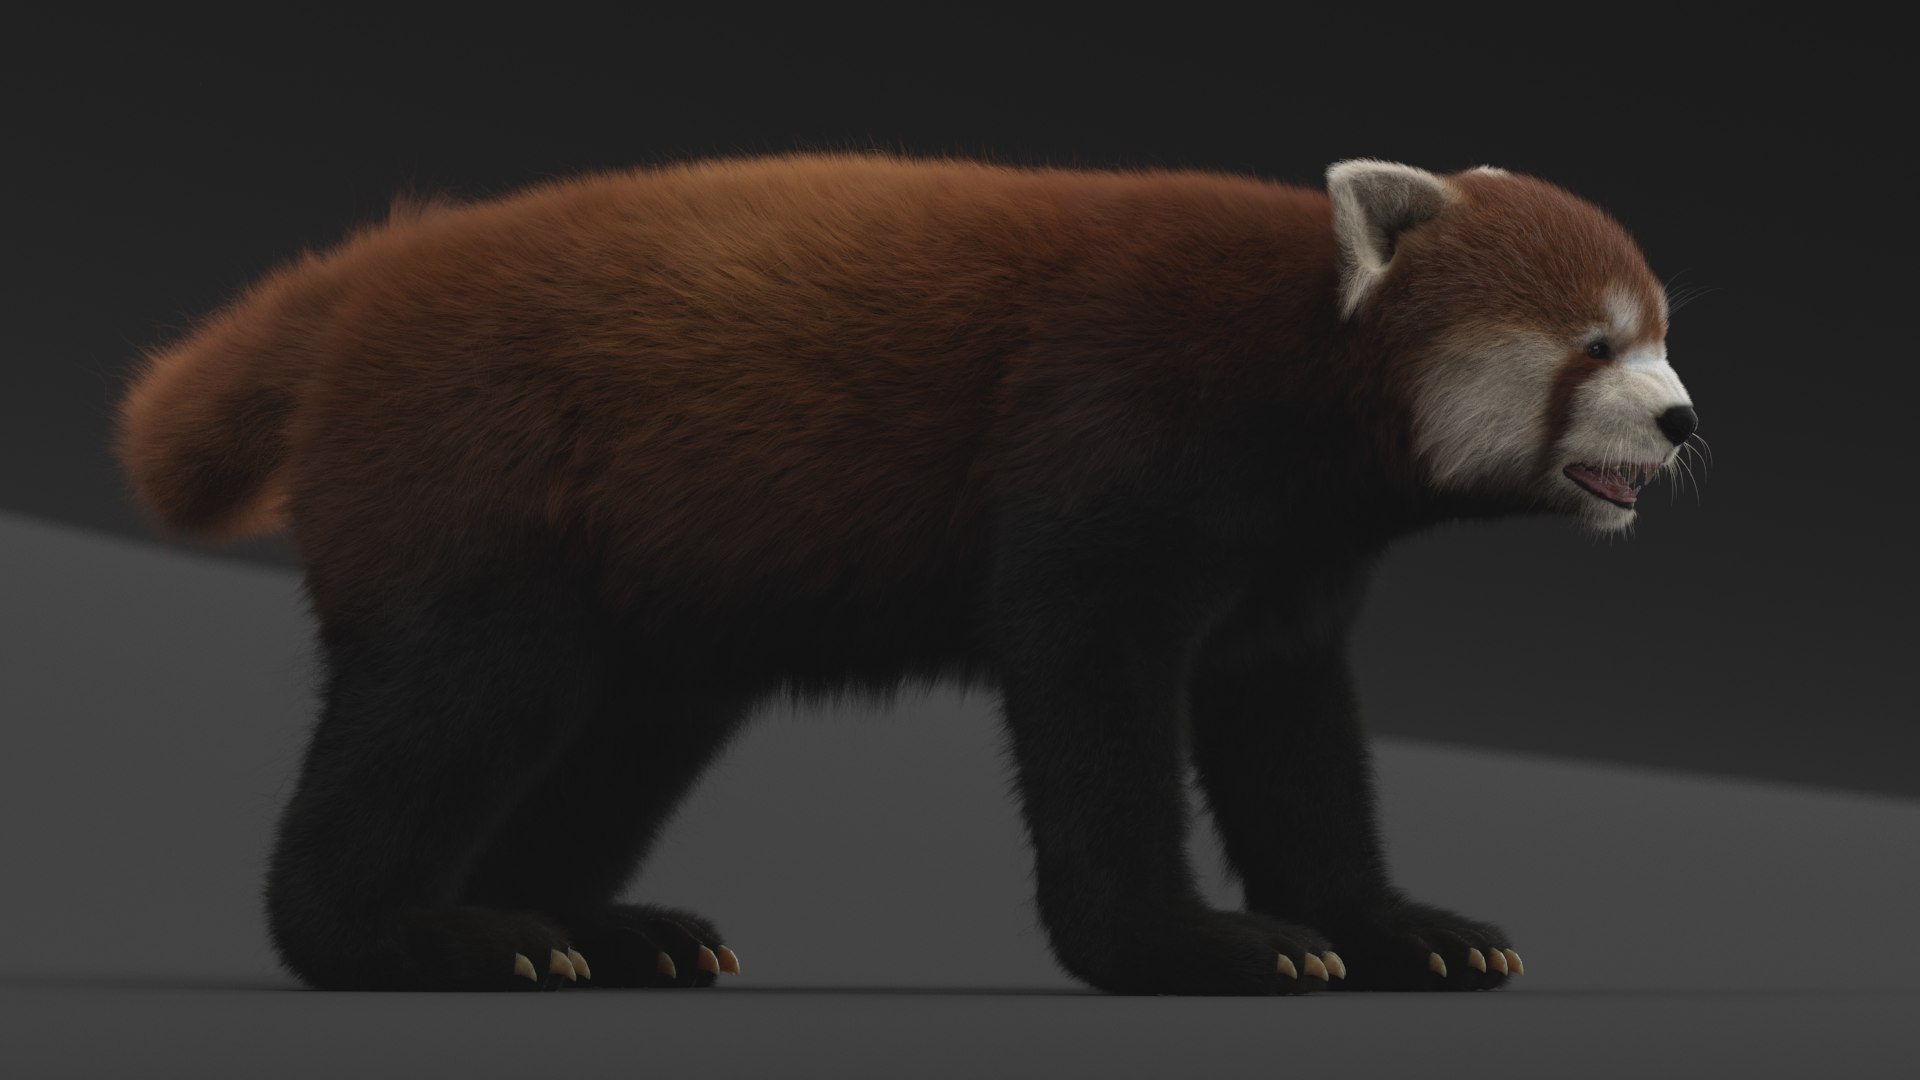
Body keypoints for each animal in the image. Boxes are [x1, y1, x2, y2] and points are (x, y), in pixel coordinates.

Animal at [114, 152, 1697, 993]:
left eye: (1664, 335)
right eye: (1597, 346)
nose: (1684, 421)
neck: (1295, 359)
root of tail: (366, 283)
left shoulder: (1291, 573)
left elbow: (1294, 744)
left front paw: (1391, 931)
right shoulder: (1105, 435)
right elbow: (1093, 706)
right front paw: (1184, 940)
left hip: (656, 602)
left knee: (617, 738)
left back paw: (602, 930)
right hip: (483, 488)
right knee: (442, 707)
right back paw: (410, 933)